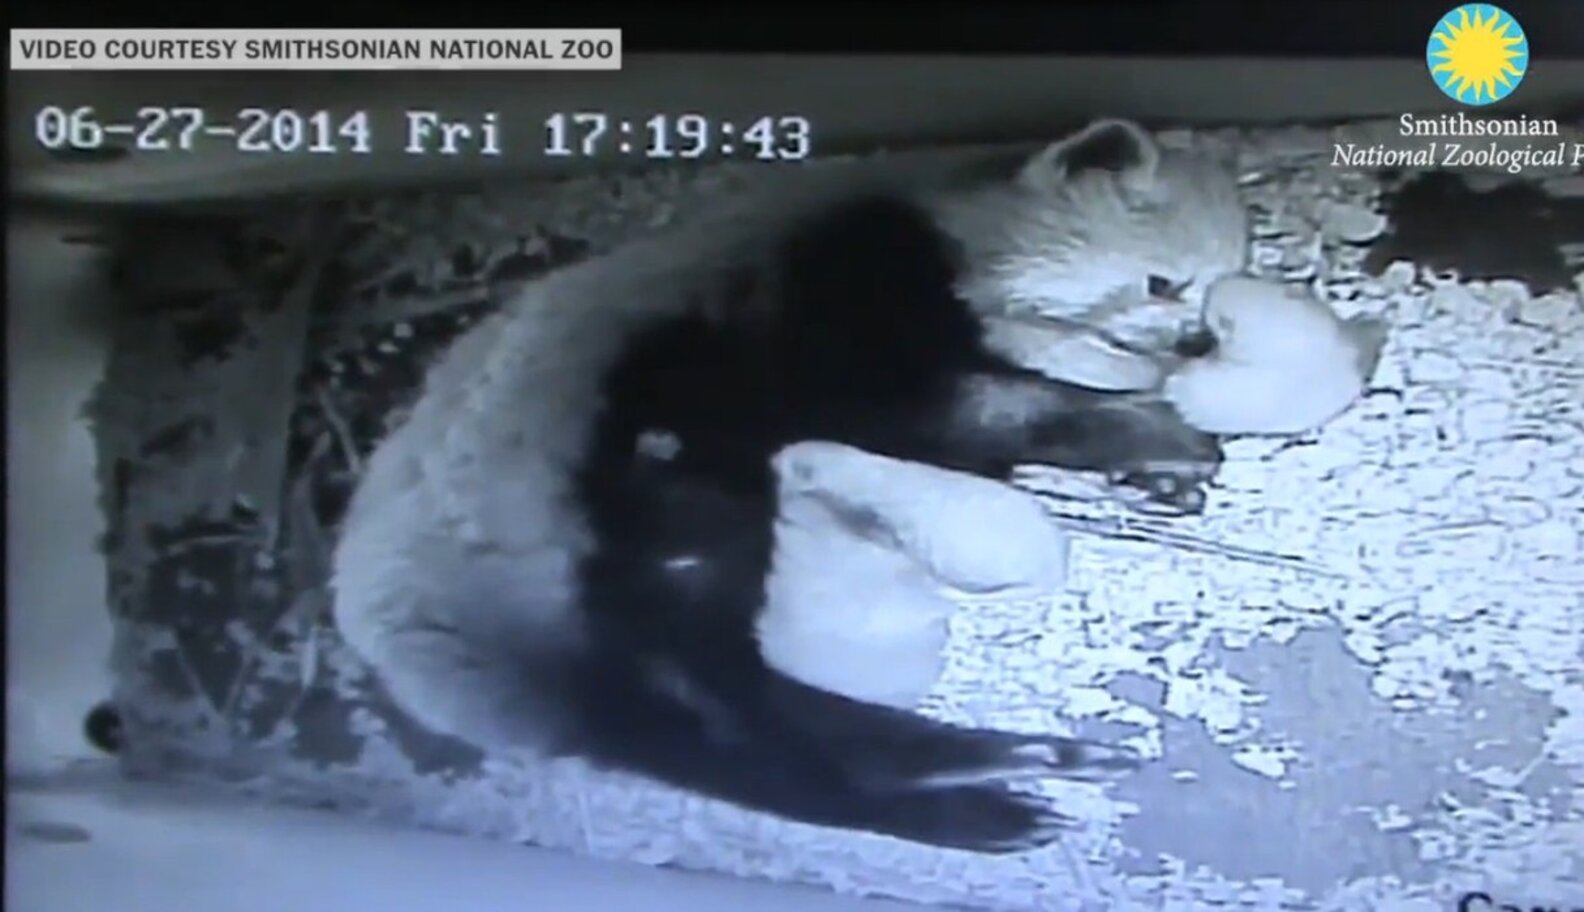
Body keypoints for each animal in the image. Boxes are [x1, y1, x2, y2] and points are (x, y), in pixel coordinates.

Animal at [329, 119, 1249, 854]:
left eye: (1217, 293)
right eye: (1163, 282)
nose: (1197, 345)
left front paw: (1153, 473)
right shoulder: (829, 301)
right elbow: (961, 407)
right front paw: (1154, 433)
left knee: (733, 686)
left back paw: (981, 761)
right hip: (558, 552)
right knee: (721, 732)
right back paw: (966, 797)